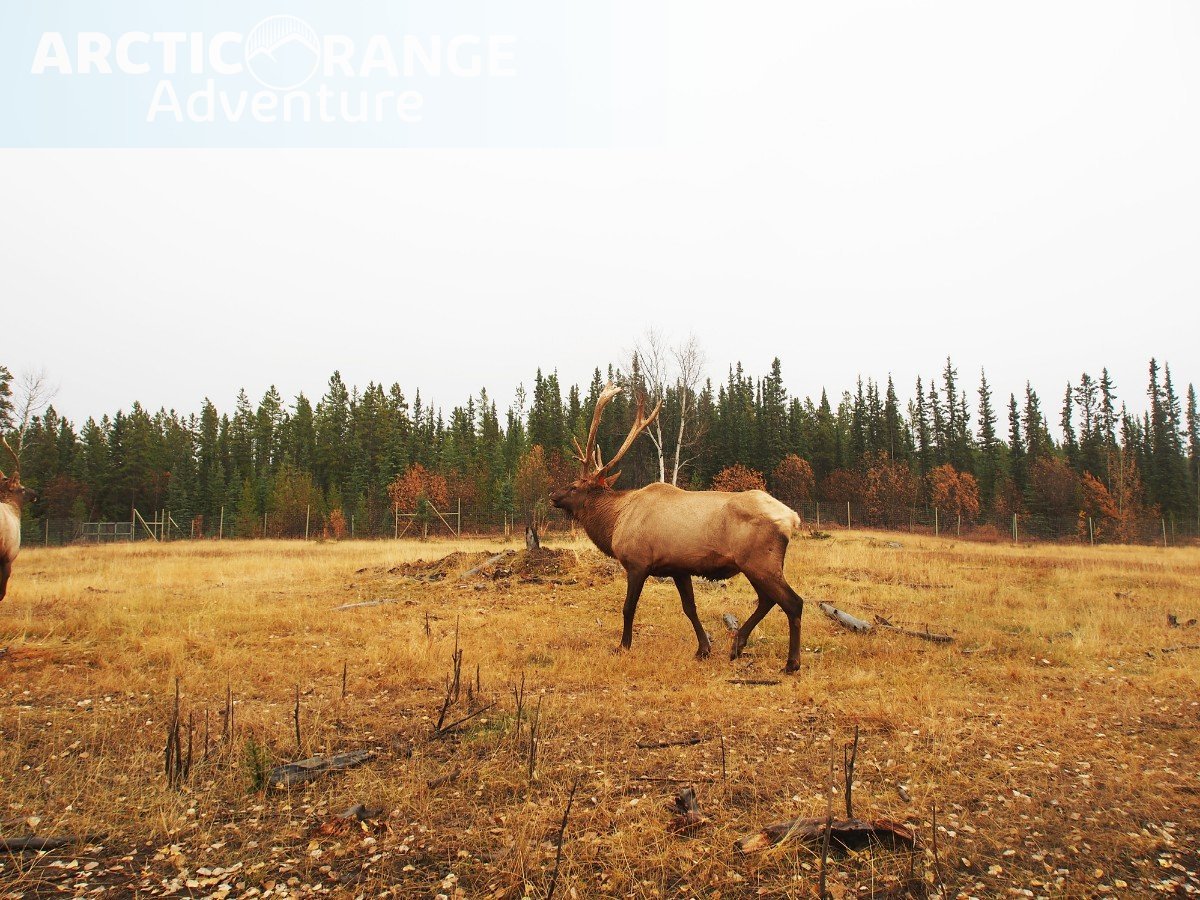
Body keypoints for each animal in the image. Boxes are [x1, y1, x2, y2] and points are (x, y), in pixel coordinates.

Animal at [550, 384, 808, 672]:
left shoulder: (638, 563)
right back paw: (736, 646)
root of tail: (792, 518)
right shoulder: (678, 568)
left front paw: (623, 645)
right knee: (767, 600)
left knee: (793, 602)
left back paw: (791, 662)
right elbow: (690, 608)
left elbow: (628, 607)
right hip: (758, 564)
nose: (552, 495)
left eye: (574, 486)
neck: (615, 522)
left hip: (759, 561)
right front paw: (703, 649)